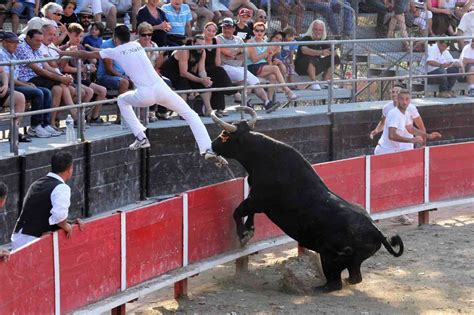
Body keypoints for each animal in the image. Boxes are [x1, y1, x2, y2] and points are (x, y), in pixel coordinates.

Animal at [211, 107, 404, 292]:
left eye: (225, 134)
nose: (213, 145)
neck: (262, 156)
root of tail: (377, 231)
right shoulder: (256, 200)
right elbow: (248, 214)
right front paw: (249, 231)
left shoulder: (257, 199)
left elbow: (238, 211)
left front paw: (243, 235)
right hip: (352, 262)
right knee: (355, 276)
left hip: (330, 257)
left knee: (335, 283)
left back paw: (317, 288)